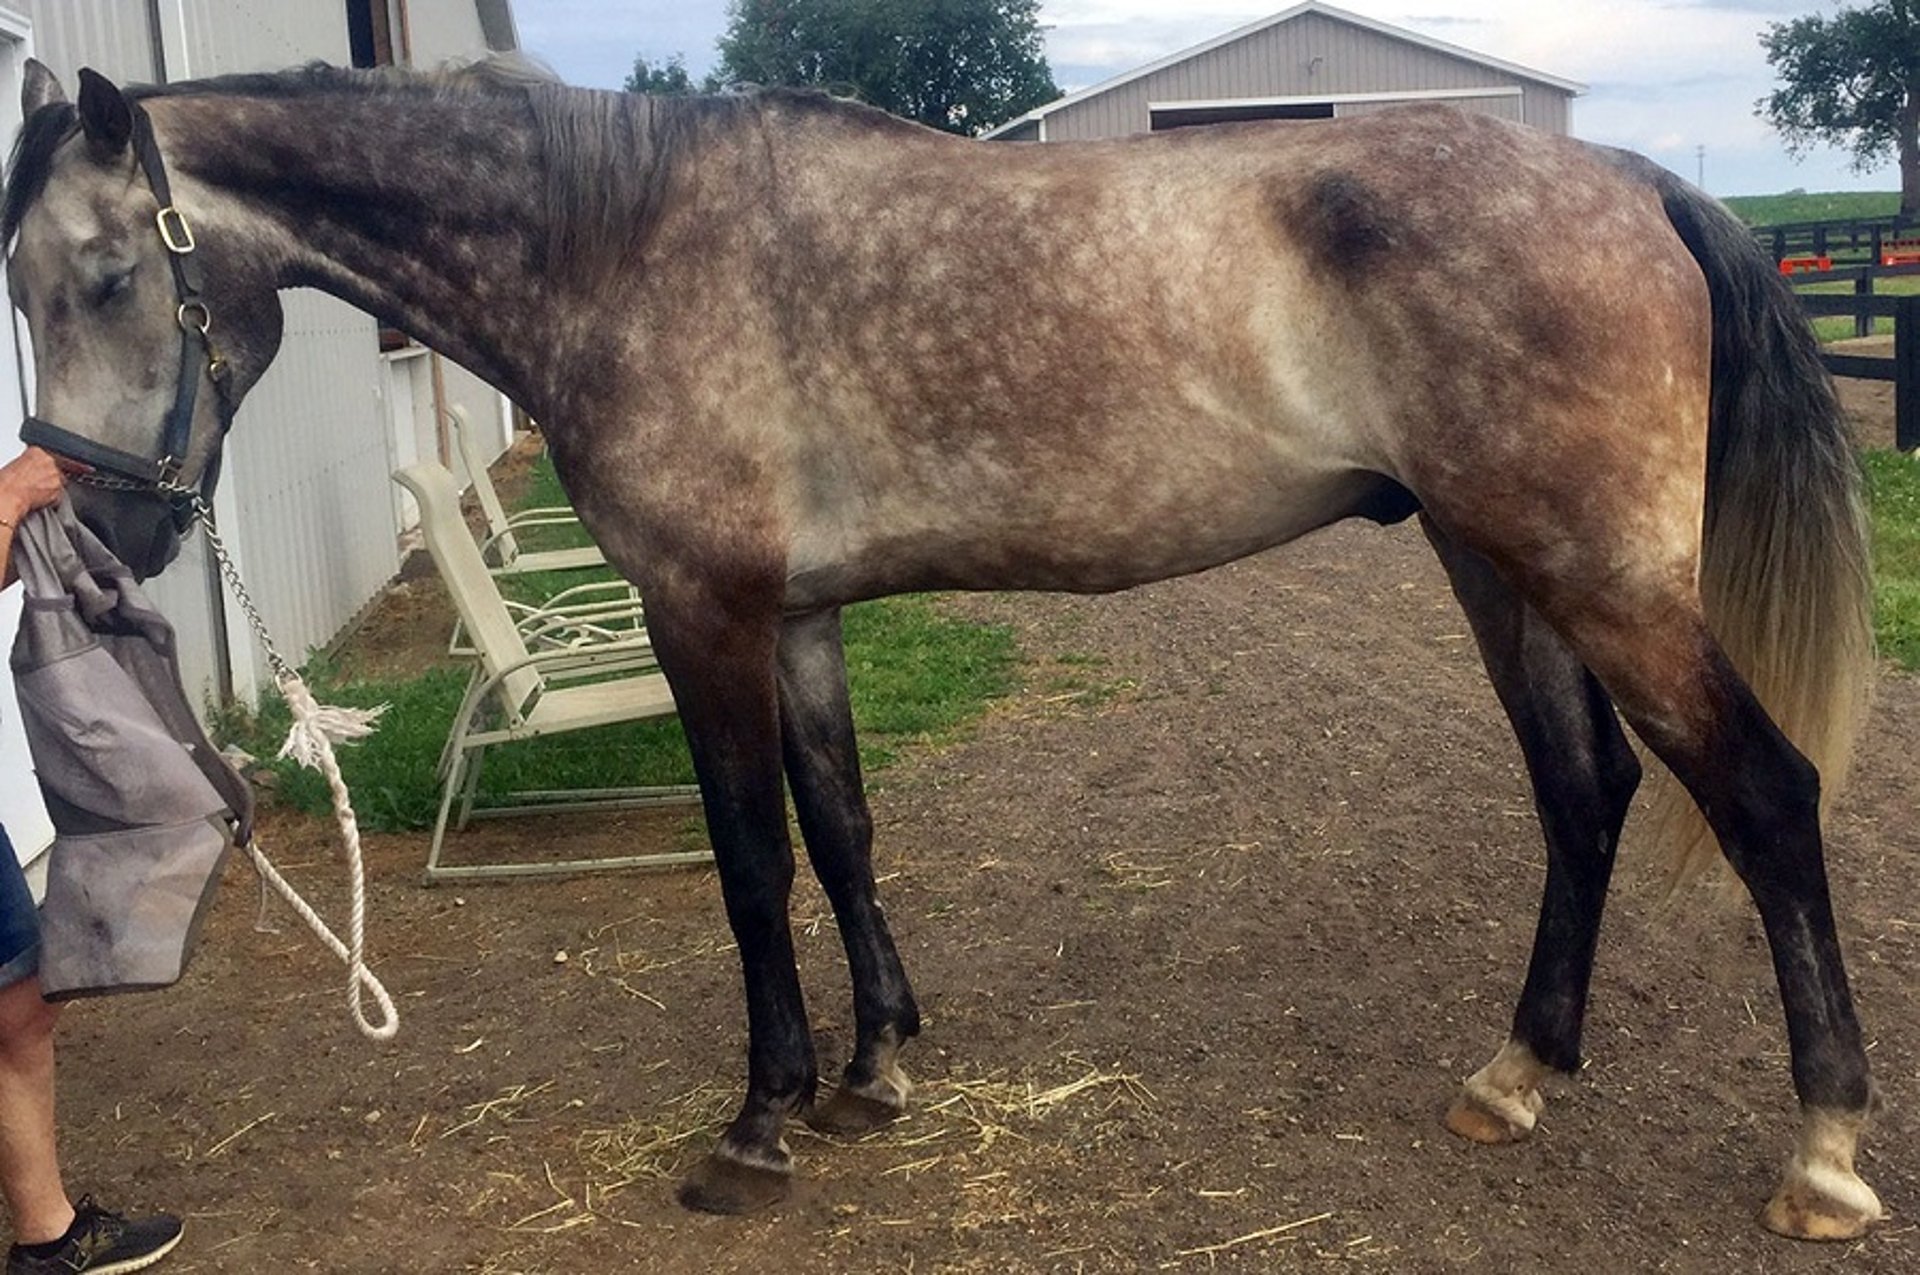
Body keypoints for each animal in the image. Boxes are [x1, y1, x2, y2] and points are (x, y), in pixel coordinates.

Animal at [0, 59, 1882, 1238]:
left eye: (98, 277)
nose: (103, 525)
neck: (619, 244)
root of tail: (1628, 176)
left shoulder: (705, 616)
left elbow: (753, 865)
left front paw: (759, 1124)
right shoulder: (800, 617)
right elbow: (843, 832)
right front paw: (874, 1068)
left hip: (1599, 577)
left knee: (1765, 795)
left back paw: (1824, 1151)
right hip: (1501, 568)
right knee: (1585, 795)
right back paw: (1517, 1076)